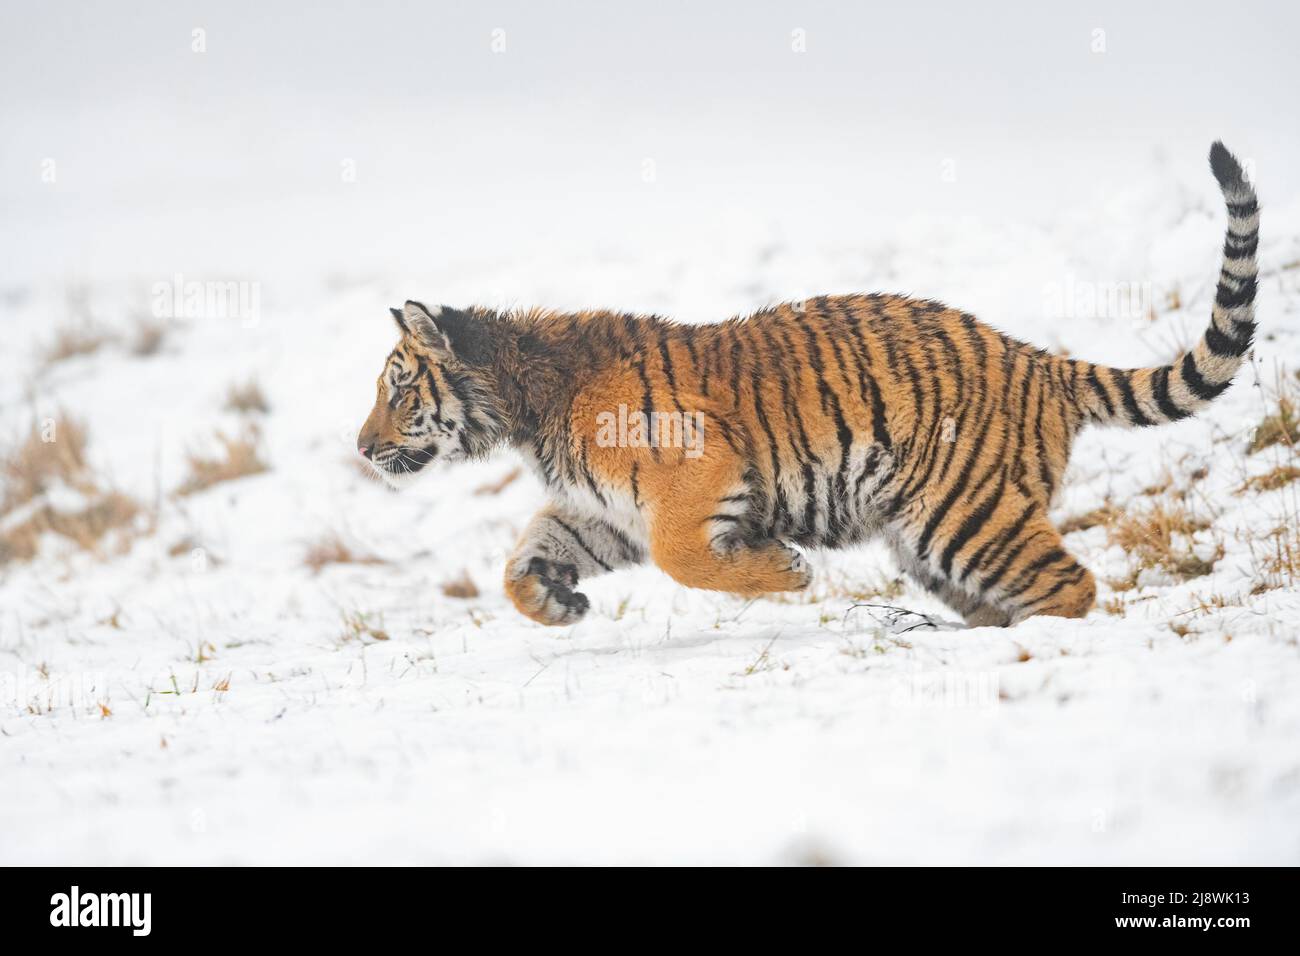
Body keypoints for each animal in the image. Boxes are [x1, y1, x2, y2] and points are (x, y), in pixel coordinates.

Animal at [357, 141, 1259, 627]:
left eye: (398, 391)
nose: (360, 449)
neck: (527, 403)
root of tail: (1037, 357)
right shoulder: (601, 510)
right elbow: (521, 560)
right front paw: (555, 605)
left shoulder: (694, 477)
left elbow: (684, 557)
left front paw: (784, 573)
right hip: (932, 534)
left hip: (962, 514)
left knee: (1070, 584)